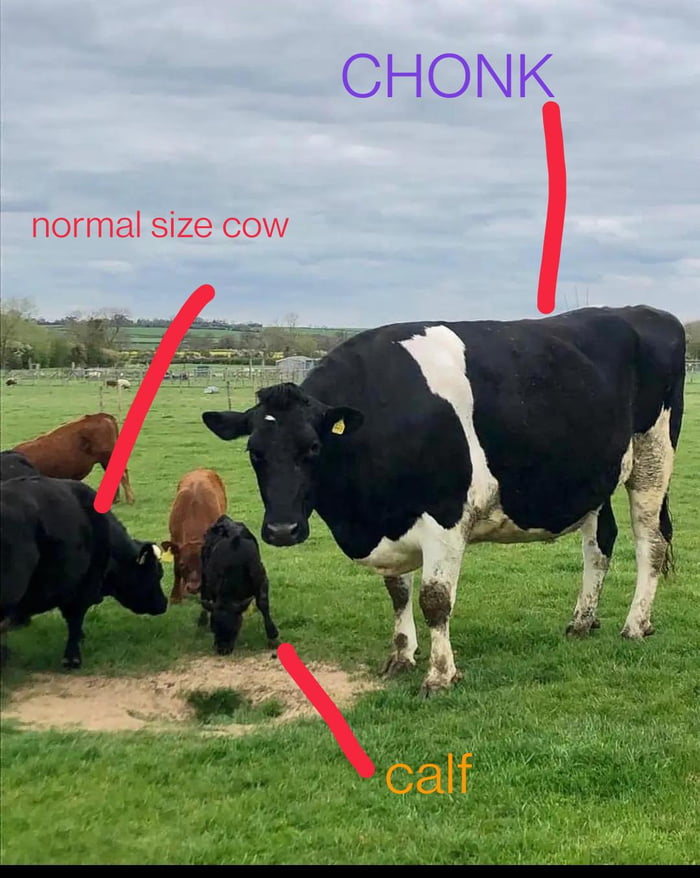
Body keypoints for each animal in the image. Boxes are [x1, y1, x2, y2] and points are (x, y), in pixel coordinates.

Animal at [162, 469, 227, 603]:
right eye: (182, 564)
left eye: (203, 564)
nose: (193, 588)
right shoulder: (174, 539)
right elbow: (176, 570)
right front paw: (176, 596)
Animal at [199, 515, 279, 655]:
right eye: (214, 626)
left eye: (235, 626)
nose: (223, 650)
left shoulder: (262, 579)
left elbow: (263, 603)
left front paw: (272, 636)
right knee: (204, 593)